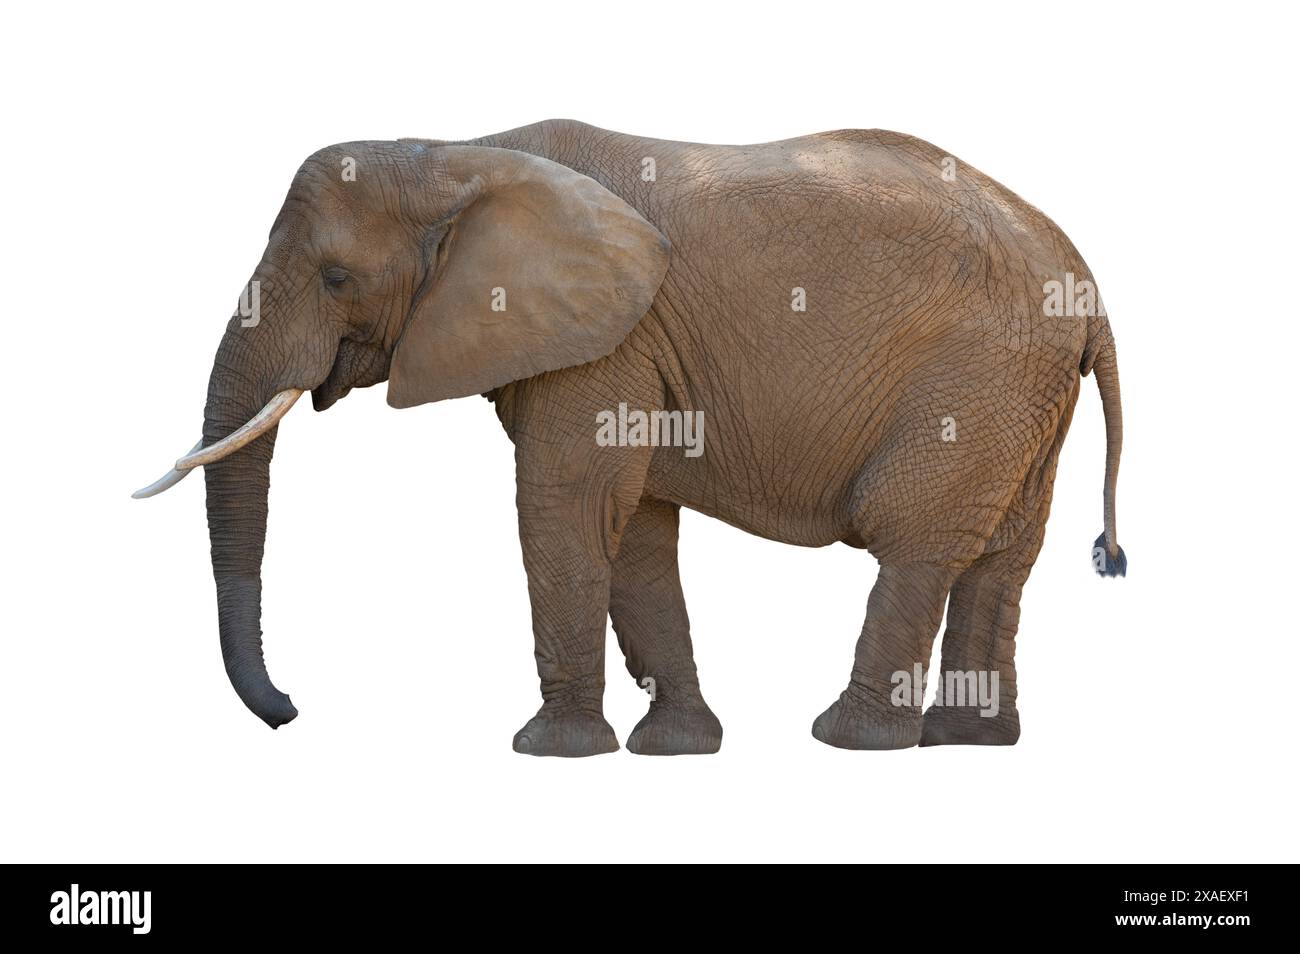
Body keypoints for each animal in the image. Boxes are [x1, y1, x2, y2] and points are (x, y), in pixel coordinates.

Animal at [136, 119, 1126, 756]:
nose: (290, 713)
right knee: (1003, 556)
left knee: (916, 537)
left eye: (337, 277)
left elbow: (566, 508)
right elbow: (637, 530)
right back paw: (969, 742)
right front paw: (675, 751)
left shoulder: (606, 342)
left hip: (979, 377)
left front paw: (550, 752)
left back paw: (852, 742)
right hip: (1024, 393)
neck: (461, 155)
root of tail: (1084, 279)